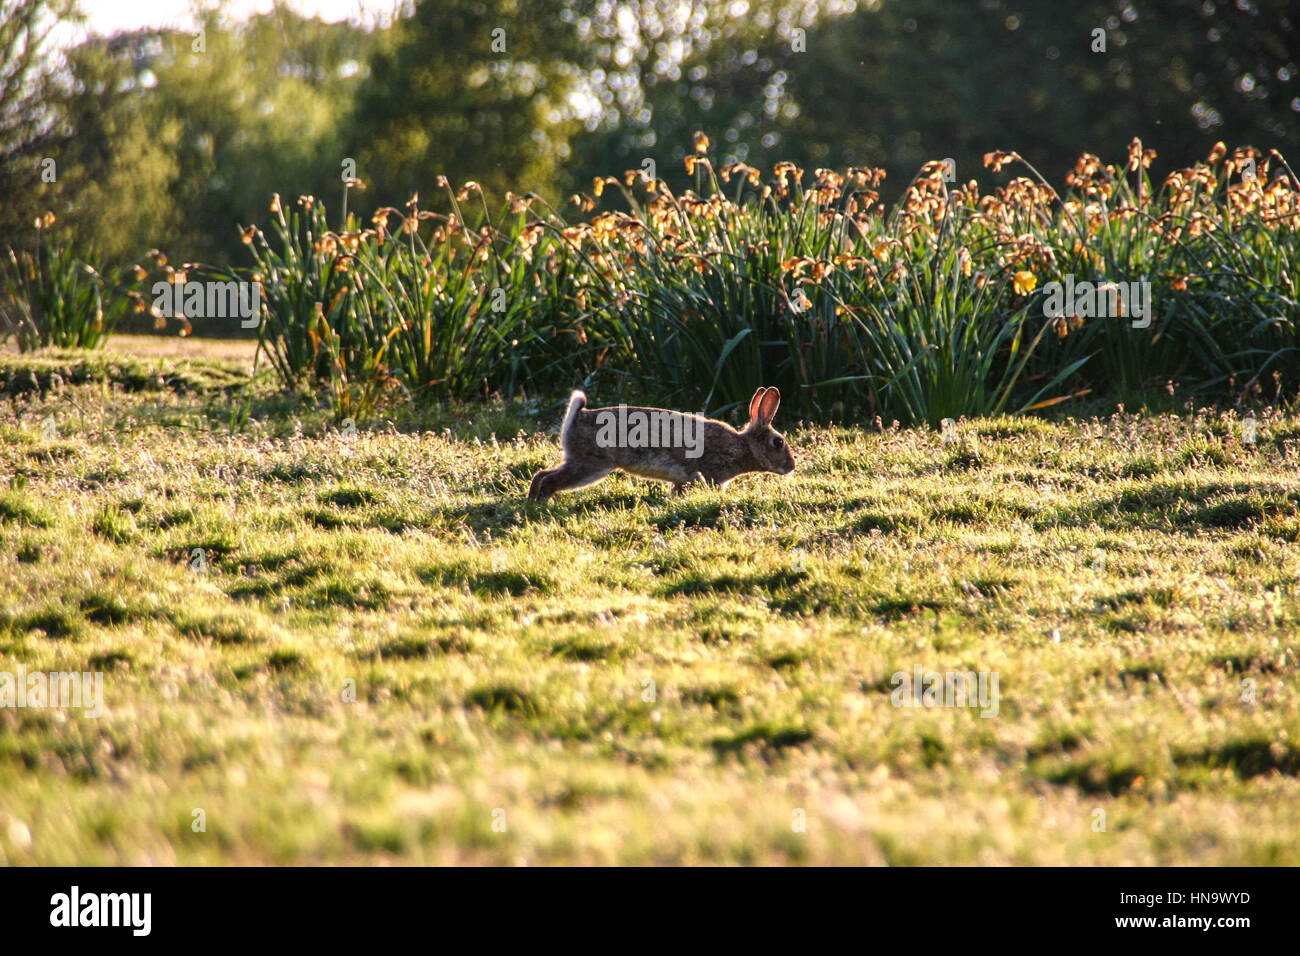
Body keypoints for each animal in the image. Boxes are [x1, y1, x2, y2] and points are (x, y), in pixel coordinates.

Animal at [528, 386, 795, 500]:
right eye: (778, 442)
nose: (792, 466)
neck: (742, 446)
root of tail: (577, 415)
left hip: (578, 461)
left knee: (541, 474)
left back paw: (532, 501)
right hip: (591, 465)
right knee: (551, 480)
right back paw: (543, 504)